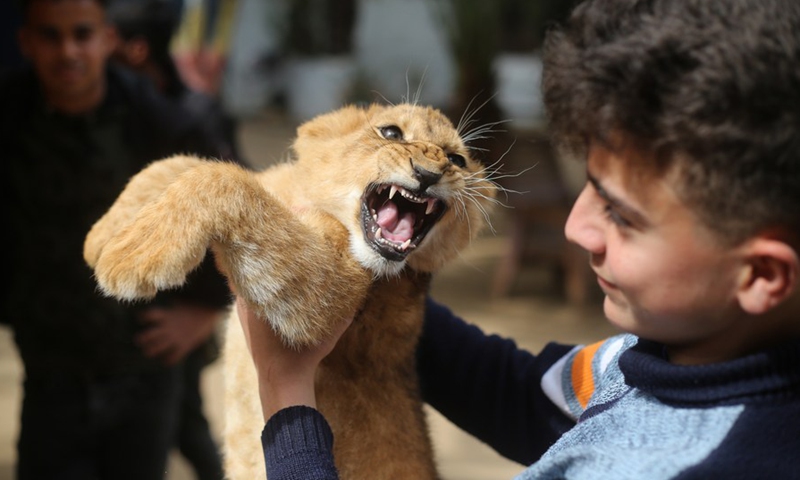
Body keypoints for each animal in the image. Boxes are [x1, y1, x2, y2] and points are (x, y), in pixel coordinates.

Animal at [83, 102, 498, 479]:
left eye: (457, 160)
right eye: (391, 132)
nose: (429, 172)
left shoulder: (331, 289)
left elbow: (223, 179)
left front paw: (132, 256)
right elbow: (178, 161)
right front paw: (102, 236)